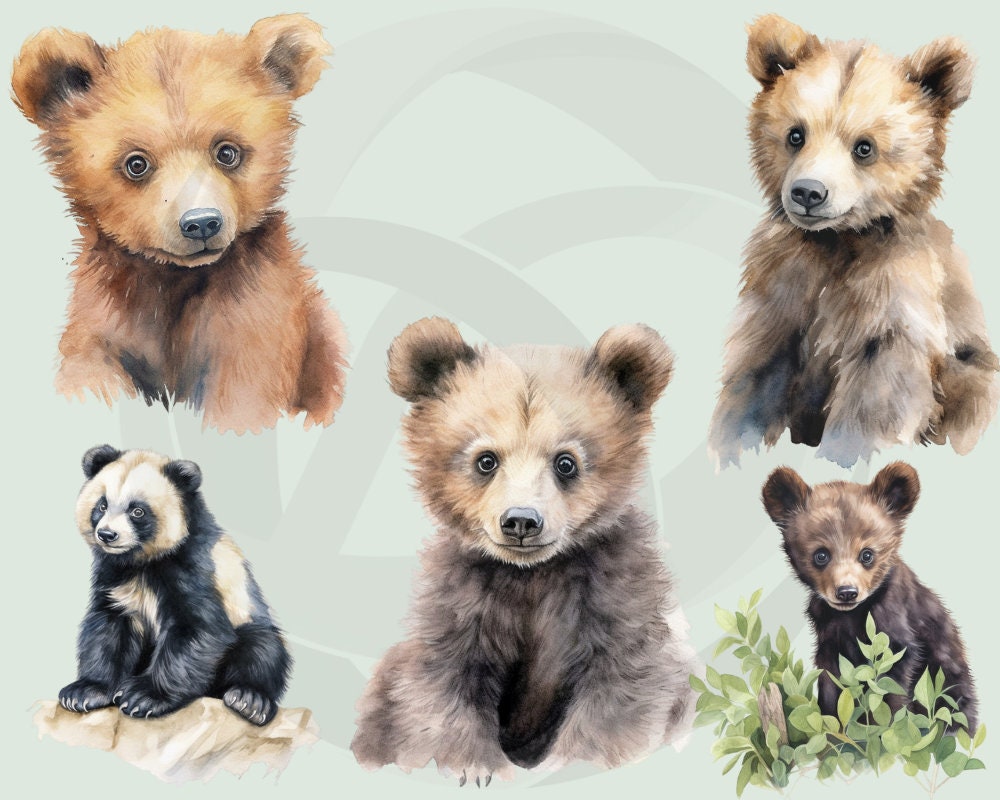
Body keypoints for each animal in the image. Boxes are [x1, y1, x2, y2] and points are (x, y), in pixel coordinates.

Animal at [11, 15, 348, 433]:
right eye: (136, 162)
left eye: (227, 151)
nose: (201, 223)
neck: (172, 280)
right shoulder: (106, 319)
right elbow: (89, 372)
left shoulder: (256, 319)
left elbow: (245, 398)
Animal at [59, 444, 291, 725]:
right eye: (102, 506)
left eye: (137, 511)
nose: (107, 535)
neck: (141, 563)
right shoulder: (114, 578)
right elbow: (108, 627)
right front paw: (86, 691)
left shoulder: (195, 571)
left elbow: (197, 629)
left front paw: (143, 697)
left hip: (245, 615)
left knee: (262, 648)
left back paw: (249, 700)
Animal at [350, 318, 696, 784]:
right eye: (486, 459)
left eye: (566, 462)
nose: (521, 521)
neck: (531, 573)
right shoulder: (466, 600)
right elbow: (442, 687)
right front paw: (475, 766)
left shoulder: (612, 596)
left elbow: (621, 693)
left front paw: (575, 761)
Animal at [708, 14, 998, 469]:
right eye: (796, 135)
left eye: (864, 147)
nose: (808, 193)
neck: (837, 243)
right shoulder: (784, 287)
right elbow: (755, 375)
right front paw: (735, 442)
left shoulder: (893, 294)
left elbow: (878, 393)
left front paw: (844, 452)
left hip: (969, 377)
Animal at [761, 462, 978, 730]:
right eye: (821, 554)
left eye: (867, 554)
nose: (846, 592)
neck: (852, 618)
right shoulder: (829, 637)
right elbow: (832, 684)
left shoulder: (894, 629)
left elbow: (888, 689)